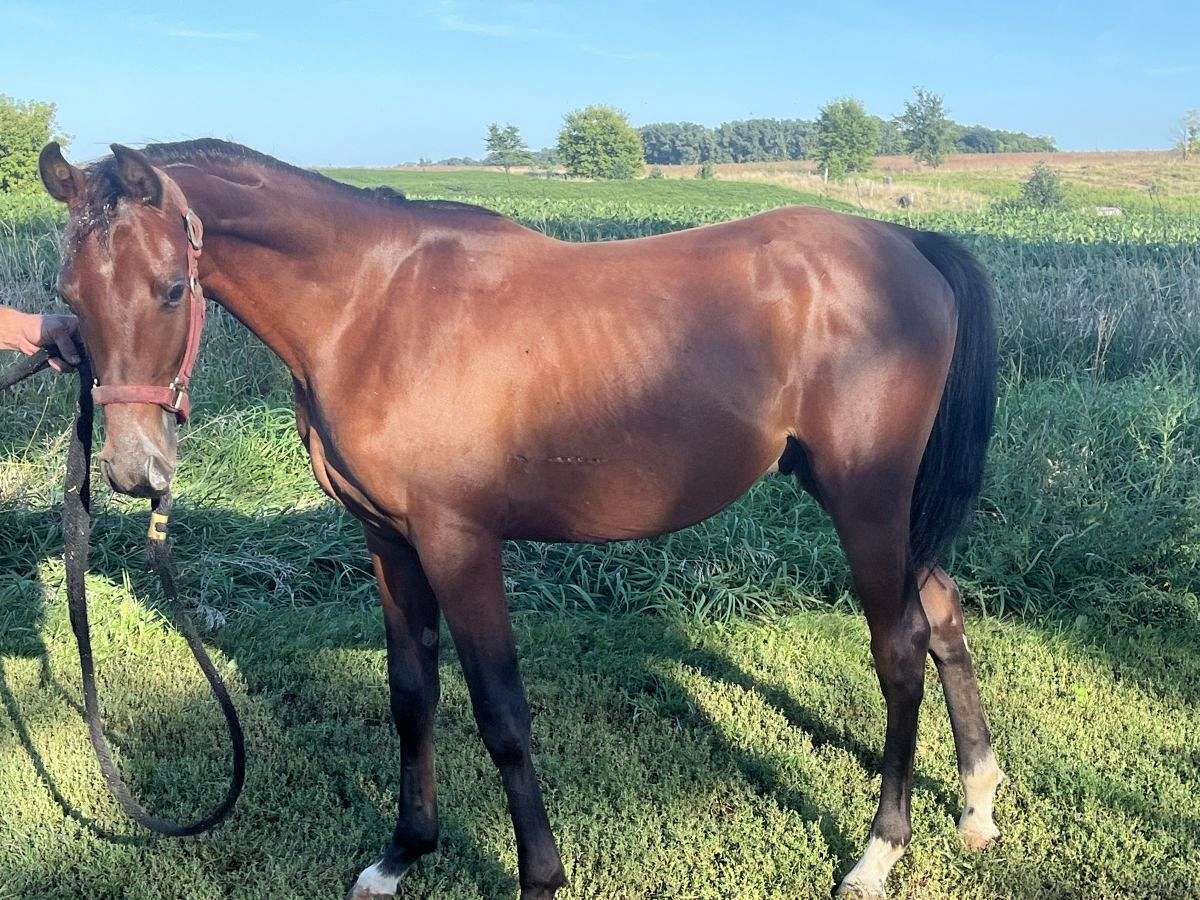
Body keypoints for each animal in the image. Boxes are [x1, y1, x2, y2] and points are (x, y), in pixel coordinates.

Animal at [37, 138, 1003, 899]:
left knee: (900, 651)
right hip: (873, 502)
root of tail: (908, 244)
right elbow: (412, 695)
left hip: (866, 498)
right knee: (944, 615)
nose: (132, 469)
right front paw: (402, 854)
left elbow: (501, 714)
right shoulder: (388, 542)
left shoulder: (459, 542)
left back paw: (878, 855)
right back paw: (978, 803)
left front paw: (539, 876)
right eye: (69, 294)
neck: (371, 309)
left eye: (172, 289)